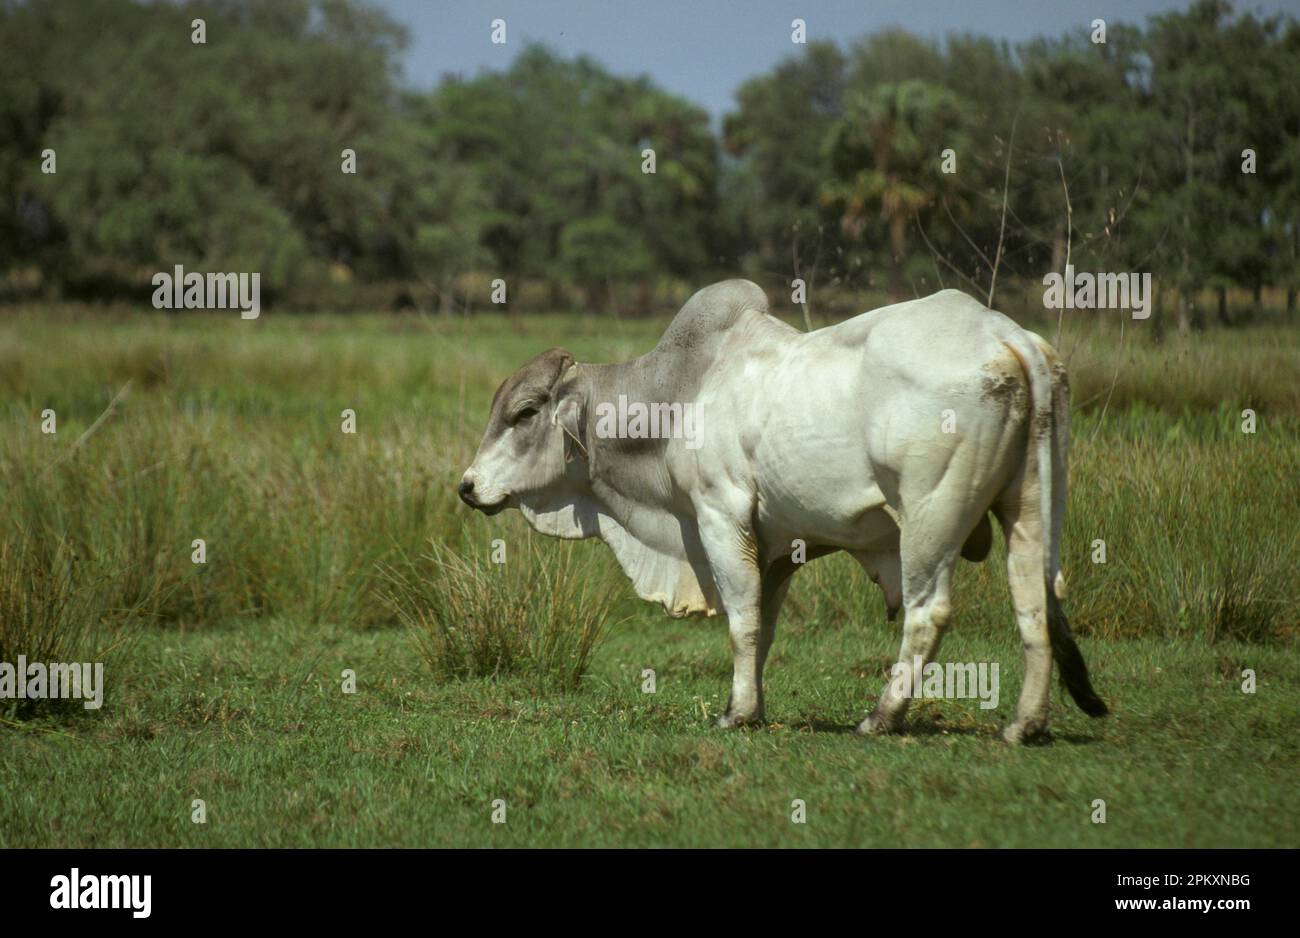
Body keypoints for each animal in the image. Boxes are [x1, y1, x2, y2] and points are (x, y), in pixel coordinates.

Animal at [459, 280, 1107, 743]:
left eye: (524, 413)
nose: (467, 487)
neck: (675, 399)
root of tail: (1003, 332)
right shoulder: (776, 551)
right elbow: (764, 629)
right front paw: (749, 704)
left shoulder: (720, 519)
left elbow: (741, 622)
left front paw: (738, 714)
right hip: (1028, 507)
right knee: (1034, 603)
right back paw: (1025, 724)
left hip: (930, 516)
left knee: (929, 613)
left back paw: (882, 717)